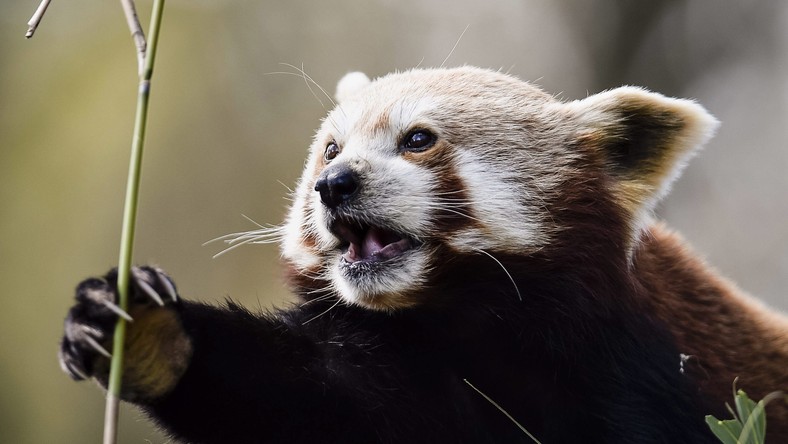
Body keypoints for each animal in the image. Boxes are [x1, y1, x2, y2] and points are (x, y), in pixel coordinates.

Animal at [59, 66, 788, 443]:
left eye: (417, 139)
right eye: (330, 149)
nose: (334, 185)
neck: (462, 325)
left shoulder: (638, 370)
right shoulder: (389, 365)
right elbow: (311, 396)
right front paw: (150, 332)